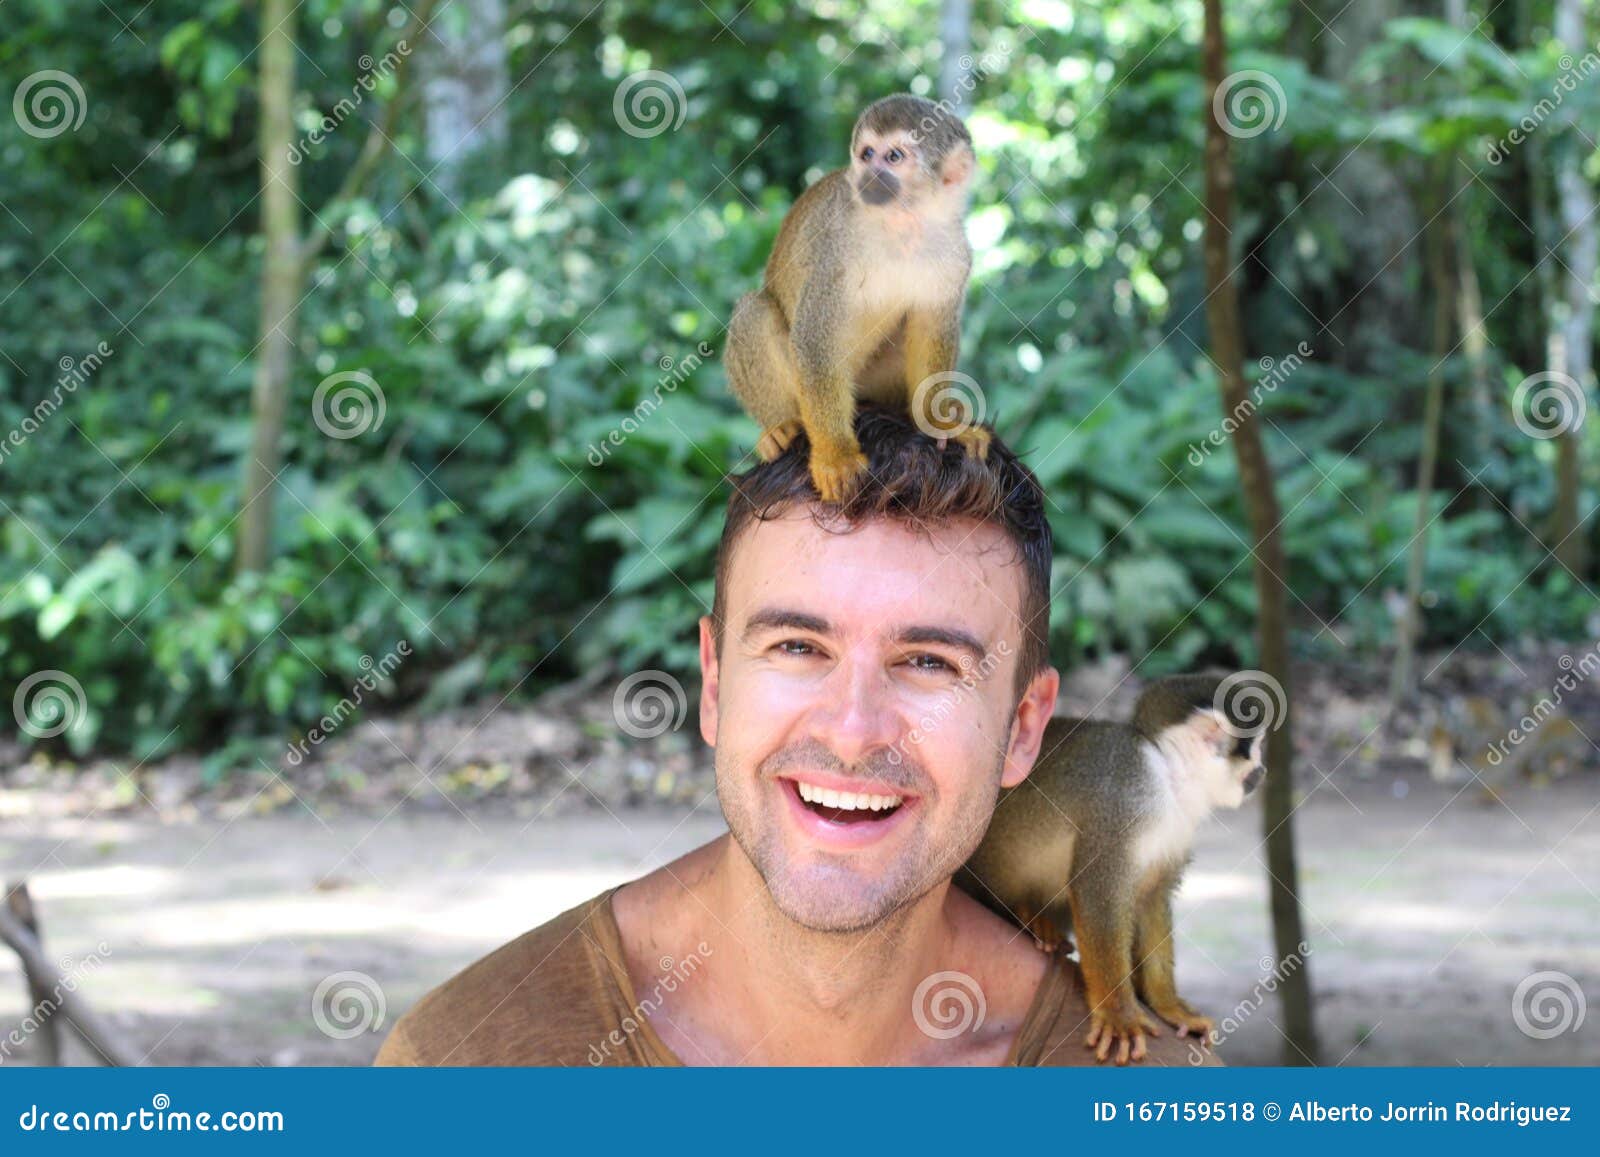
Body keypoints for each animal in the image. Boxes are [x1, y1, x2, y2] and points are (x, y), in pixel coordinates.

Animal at [725, 93, 983, 503]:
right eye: (866, 154)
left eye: (893, 157)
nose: (867, 176)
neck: (902, 225)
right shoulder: (836, 245)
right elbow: (815, 338)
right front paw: (836, 456)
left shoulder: (955, 253)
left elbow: (931, 330)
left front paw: (940, 421)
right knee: (756, 311)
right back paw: (779, 428)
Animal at [954, 672, 1268, 1065]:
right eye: (1254, 747)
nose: (1261, 770)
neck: (1168, 773)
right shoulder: (1125, 797)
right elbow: (1098, 890)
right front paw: (1119, 1013)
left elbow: (1150, 897)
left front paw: (1169, 1006)